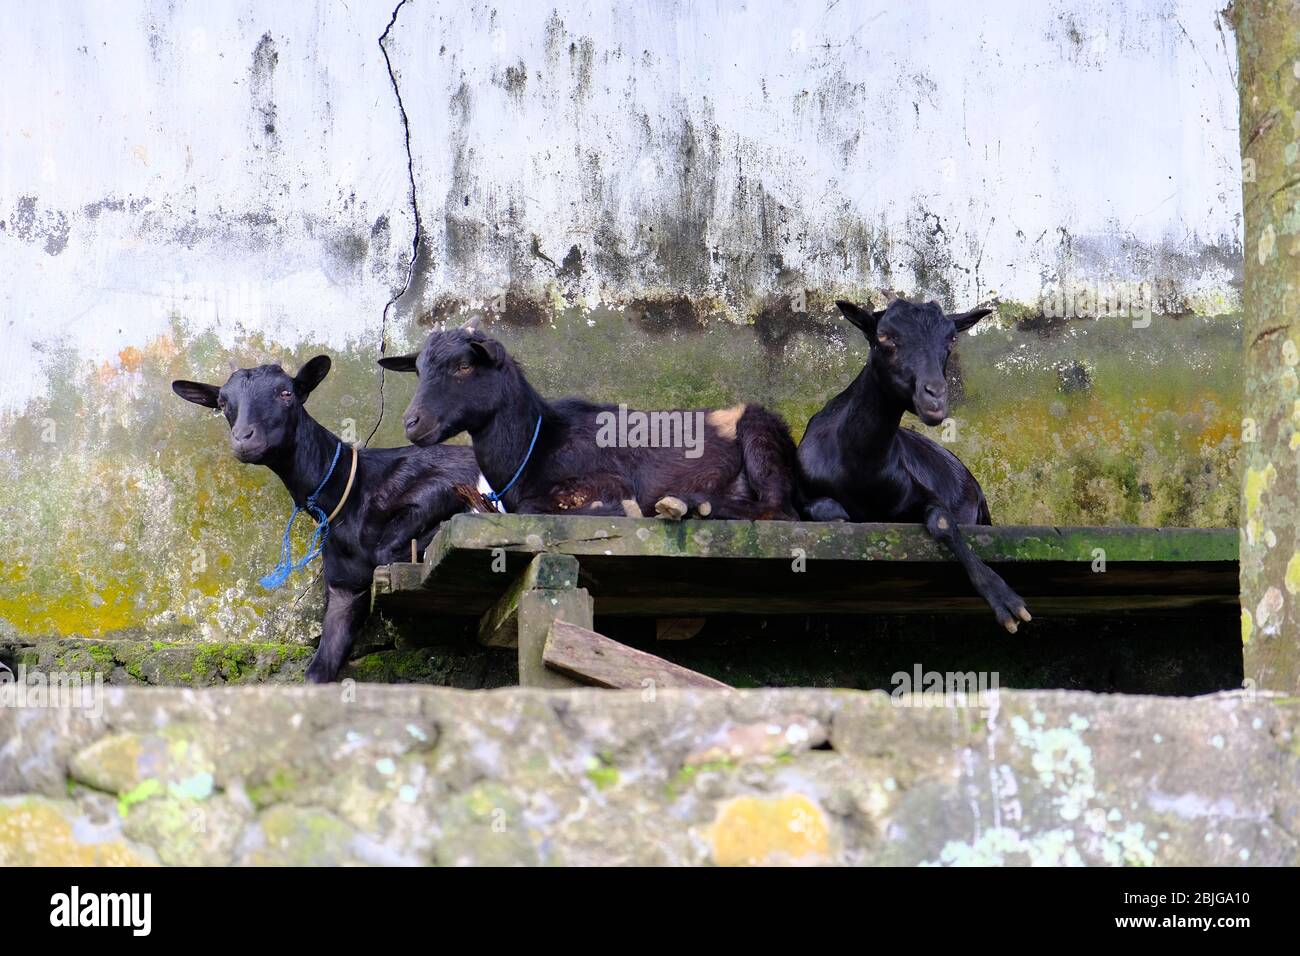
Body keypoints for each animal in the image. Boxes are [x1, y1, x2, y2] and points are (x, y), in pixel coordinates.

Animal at [172, 357, 479, 682]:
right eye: (222, 402)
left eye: (286, 393)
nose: (244, 439)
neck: (350, 489)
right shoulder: (344, 585)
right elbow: (318, 670)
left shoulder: (446, 482)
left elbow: (391, 546)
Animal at [378, 328, 799, 520]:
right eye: (418, 370)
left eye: (465, 366)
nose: (413, 423)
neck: (538, 443)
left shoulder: (605, 480)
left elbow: (537, 507)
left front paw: (621, 509)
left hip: (760, 441)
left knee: (778, 509)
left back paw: (690, 503)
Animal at [797, 299, 1032, 633]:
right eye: (884, 337)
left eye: (951, 339)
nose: (934, 396)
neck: (860, 467)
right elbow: (822, 508)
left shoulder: (920, 492)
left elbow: (942, 522)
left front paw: (1004, 599)